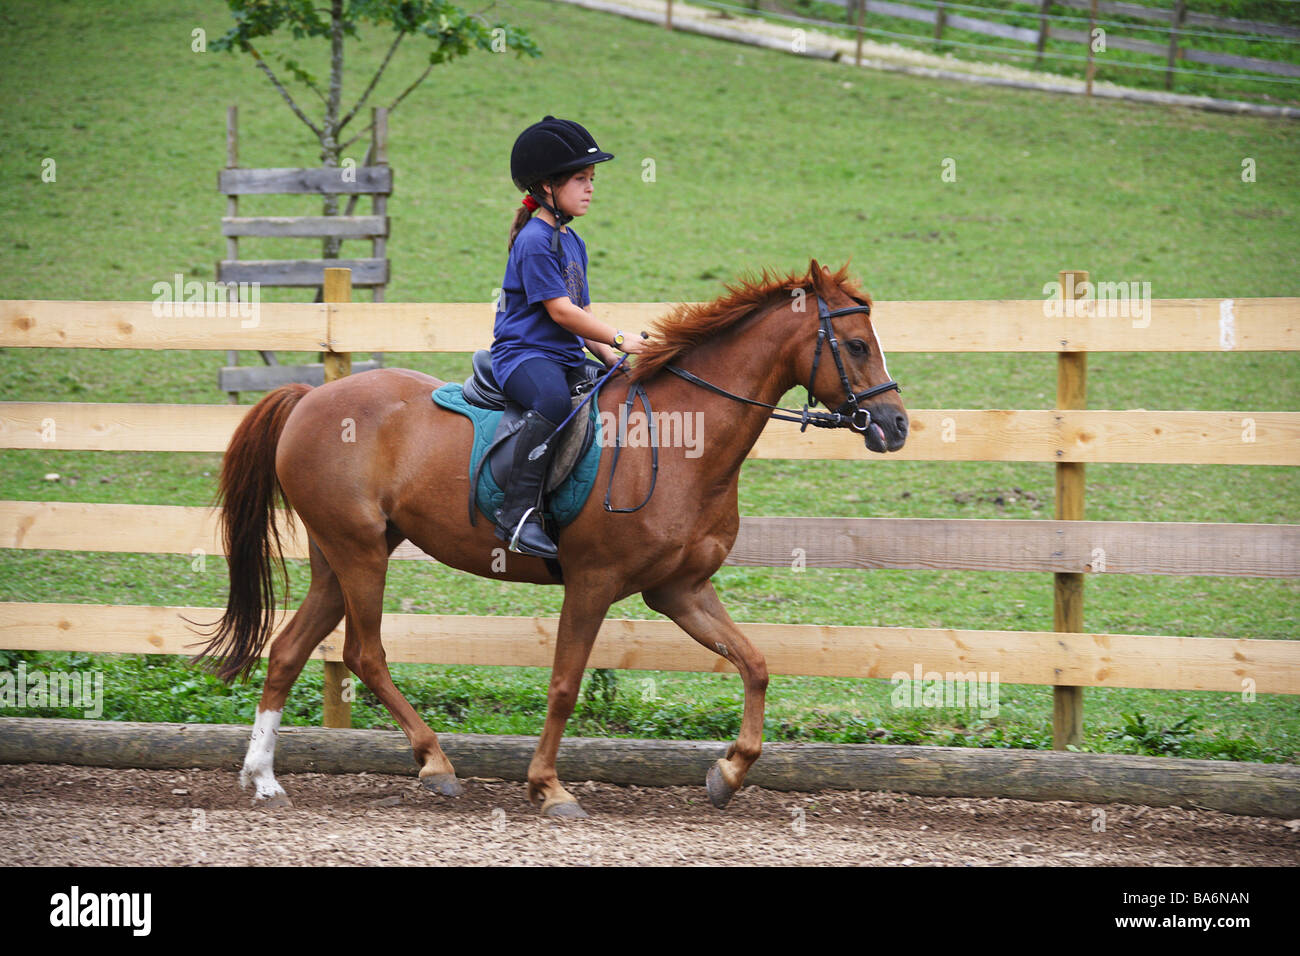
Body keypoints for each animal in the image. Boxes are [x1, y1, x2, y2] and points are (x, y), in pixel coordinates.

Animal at [193, 259, 909, 817]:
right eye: (853, 344)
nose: (896, 425)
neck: (681, 438)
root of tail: (310, 398)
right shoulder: (593, 582)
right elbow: (565, 683)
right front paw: (548, 788)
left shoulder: (679, 590)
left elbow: (755, 664)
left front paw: (728, 774)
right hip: (360, 553)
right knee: (365, 655)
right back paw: (434, 764)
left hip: (338, 558)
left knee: (289, 651)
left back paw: (264, 778)